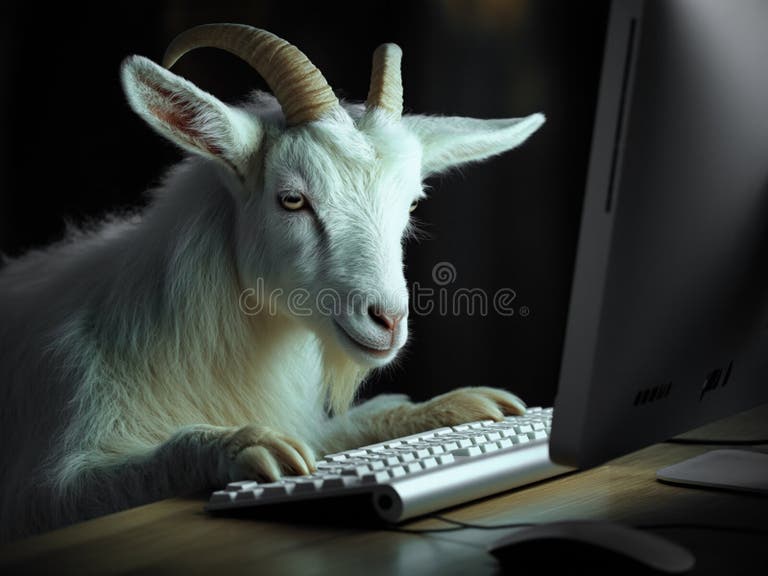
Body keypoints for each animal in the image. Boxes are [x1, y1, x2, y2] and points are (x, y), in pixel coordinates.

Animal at [0, 24, 544, 541]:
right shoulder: (47, 485)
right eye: (292, 199)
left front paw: (455, 406)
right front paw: (246, 444)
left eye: (411, 203)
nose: (388, 321)